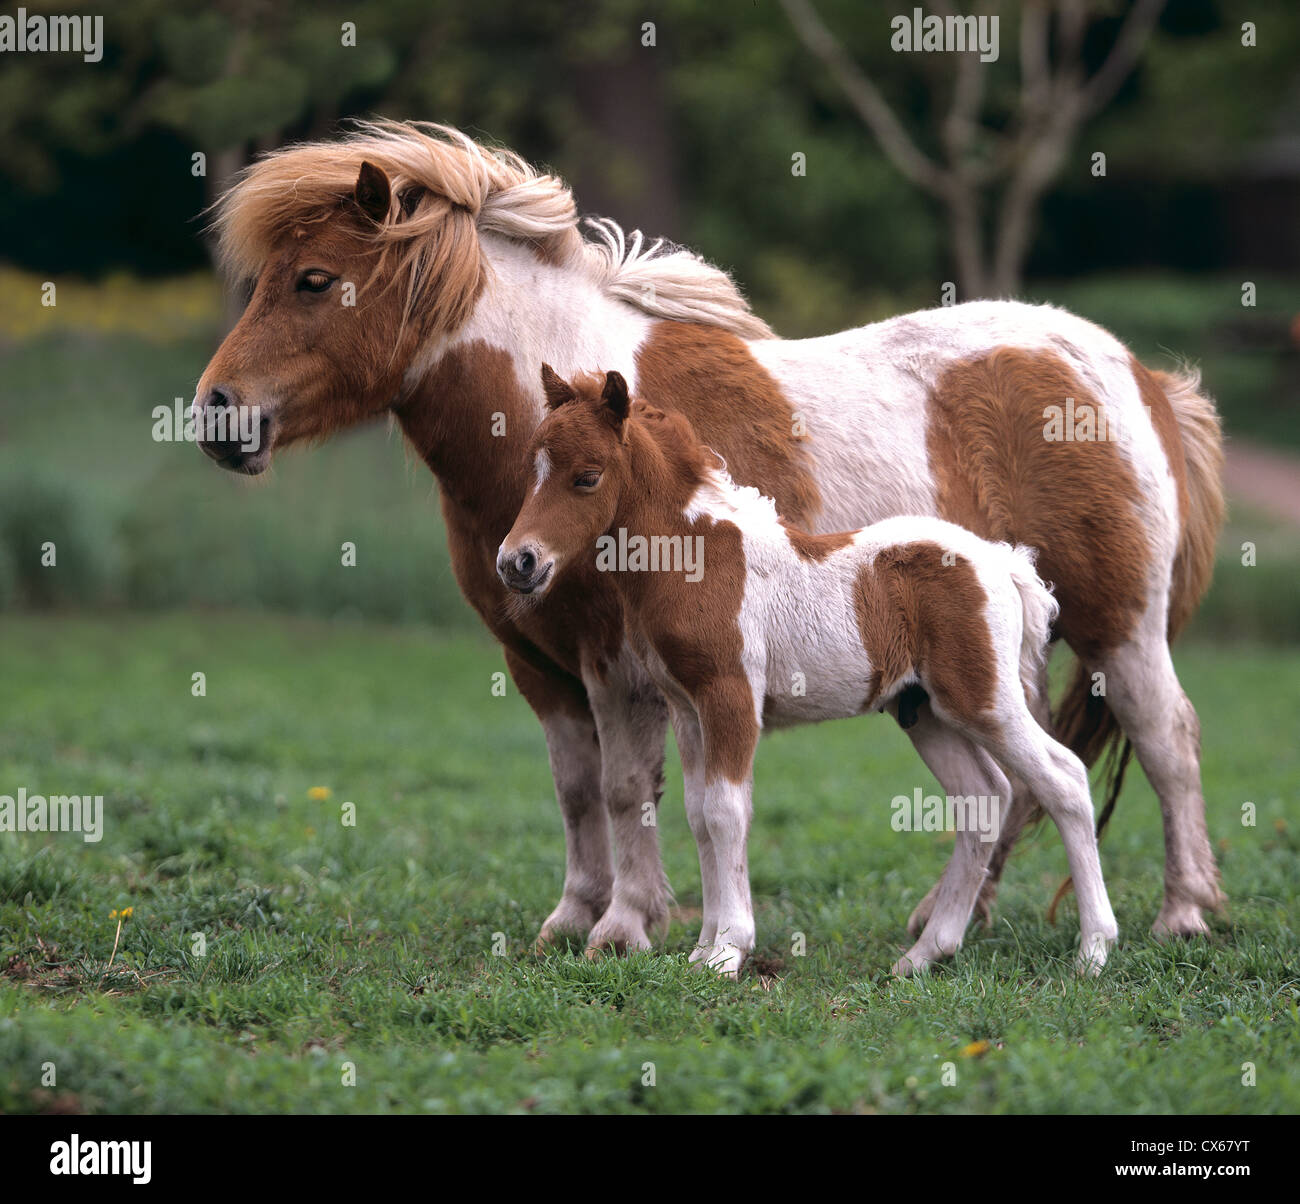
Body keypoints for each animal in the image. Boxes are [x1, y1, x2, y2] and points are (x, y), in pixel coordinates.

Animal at [498, 367, 1120, 977]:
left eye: (587, 477)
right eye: (532, 468)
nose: (517, 563)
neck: (700, 557)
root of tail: (1002, 563)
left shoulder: (730, 695)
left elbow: (726, 811)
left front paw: (728, 952)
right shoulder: (685, 706)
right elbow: (699, 815)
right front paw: (701, 950)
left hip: (984, 699)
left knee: (1063, 780)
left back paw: (1093, 950)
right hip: (926, 712)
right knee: (982, 797)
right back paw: (924, 954)